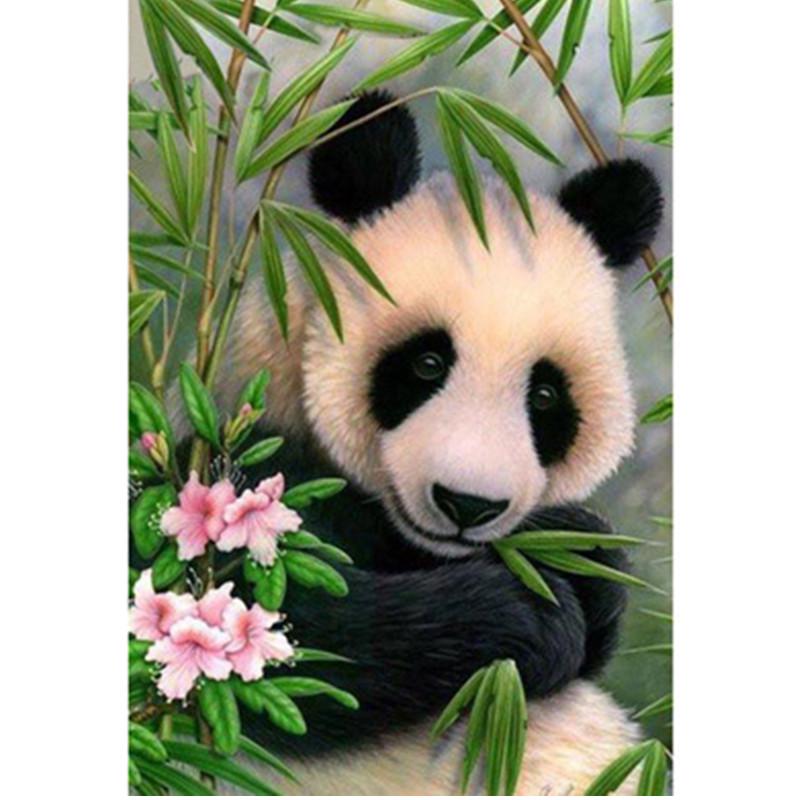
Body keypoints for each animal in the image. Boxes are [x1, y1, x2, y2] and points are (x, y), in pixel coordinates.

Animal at [182, 91, 663, 795]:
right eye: (427, 363)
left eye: (545, 395)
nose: (469, 505)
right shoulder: (239, 472)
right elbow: (284, 639)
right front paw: (531, 613)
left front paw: (576, 561)